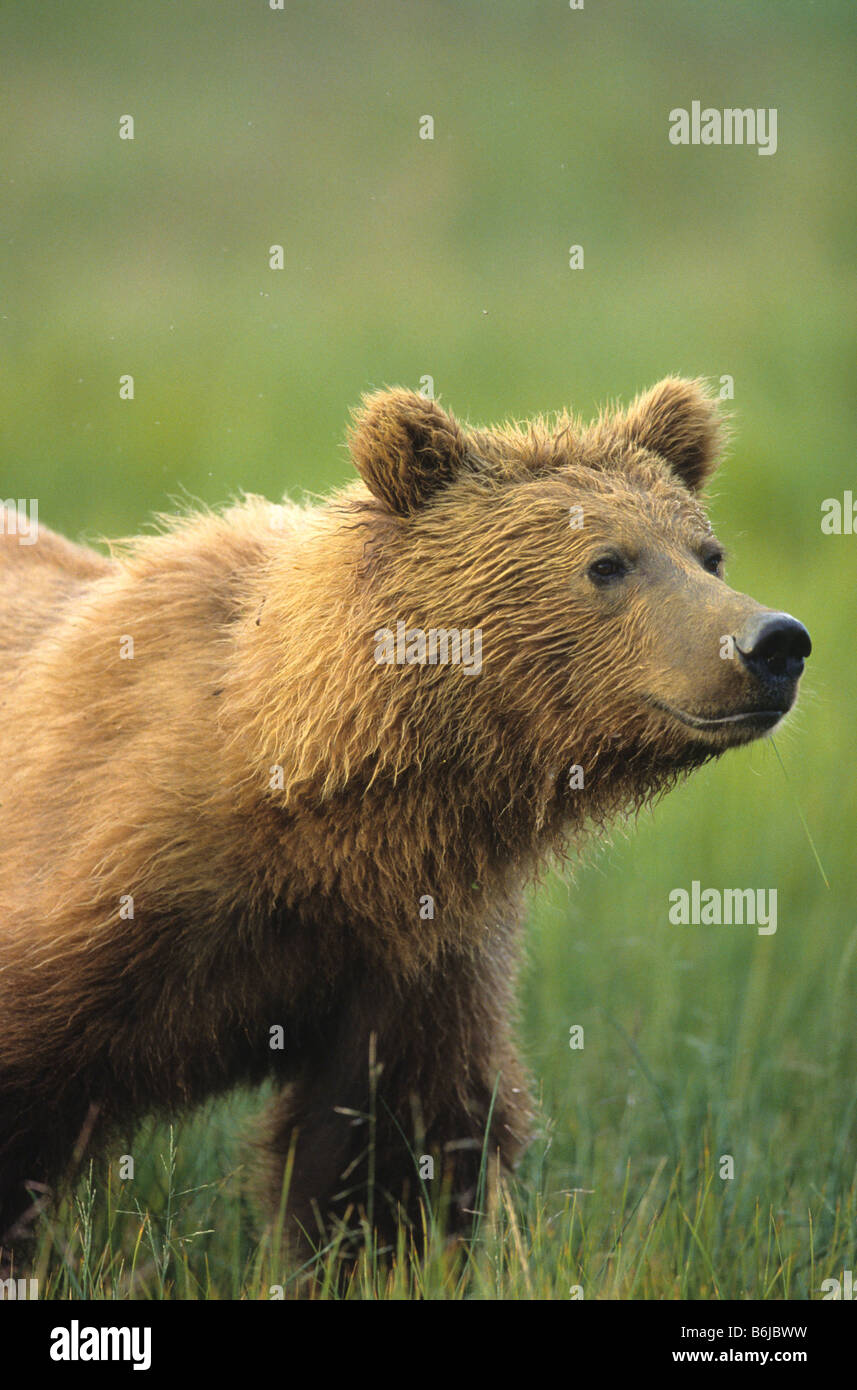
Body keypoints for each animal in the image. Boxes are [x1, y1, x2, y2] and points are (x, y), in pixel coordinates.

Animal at [0, 377, 811, 1258]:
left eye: (708, 553)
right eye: (607, 562)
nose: (773, 642)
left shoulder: (414, 952)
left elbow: (390, 1147)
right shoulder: (103, 877)